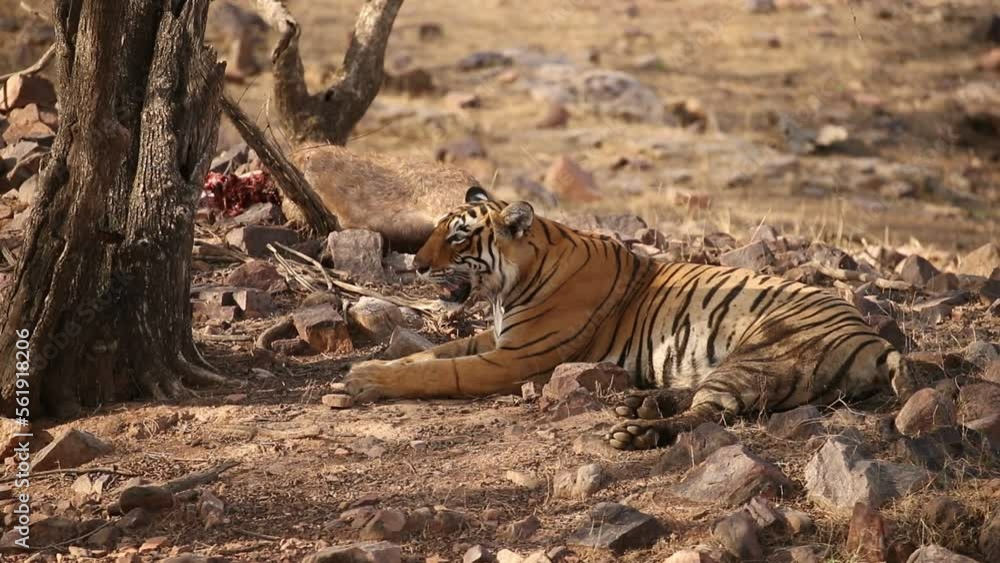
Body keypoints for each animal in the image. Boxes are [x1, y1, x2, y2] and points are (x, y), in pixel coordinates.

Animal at [343, 187, 917, 450]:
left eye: (458, 238)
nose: (416, 264)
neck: (508, 287)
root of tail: (874, 339)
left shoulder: (514, 358)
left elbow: (439, 371)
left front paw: (363, 381)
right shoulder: (495, 339)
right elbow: (433, 353)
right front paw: (364, 373)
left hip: (764, 353)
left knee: (710, 413)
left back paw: (637, 431)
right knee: (699, 396)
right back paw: (637, 403)